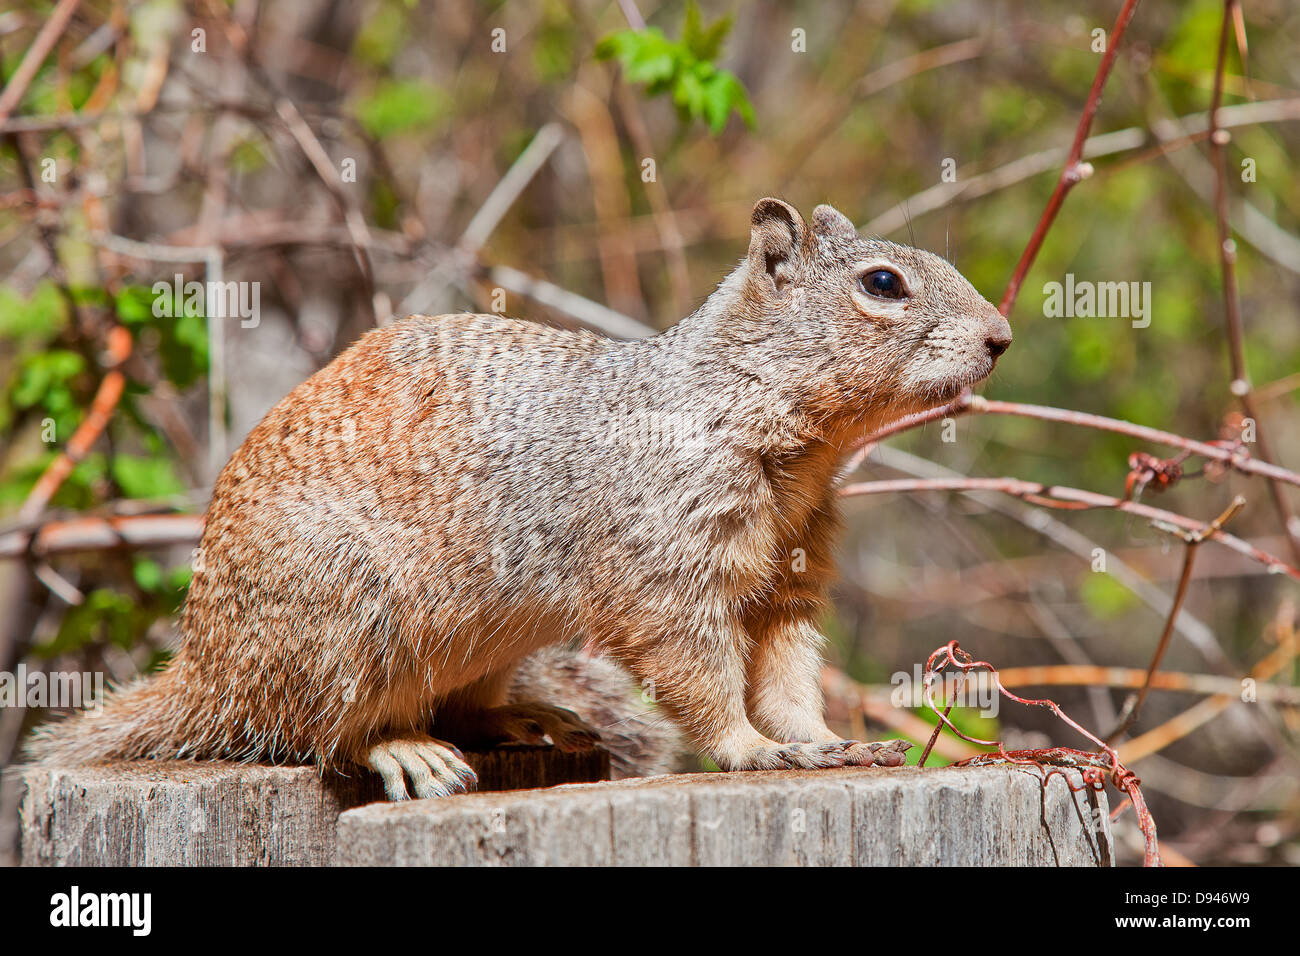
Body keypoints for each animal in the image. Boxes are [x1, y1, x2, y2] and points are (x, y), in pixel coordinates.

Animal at [27, 198, 1010, 800]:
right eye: (882, 284)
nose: (1002, 337)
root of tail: (204, 669)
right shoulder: (666, 561)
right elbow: (697, 666)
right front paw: (749, 748)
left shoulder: (791, 570)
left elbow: (789, 671)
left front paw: (824, 740)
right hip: (340, 613)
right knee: (320, 732)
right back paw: (405, 750)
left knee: (451, 707)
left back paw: (526, 716)